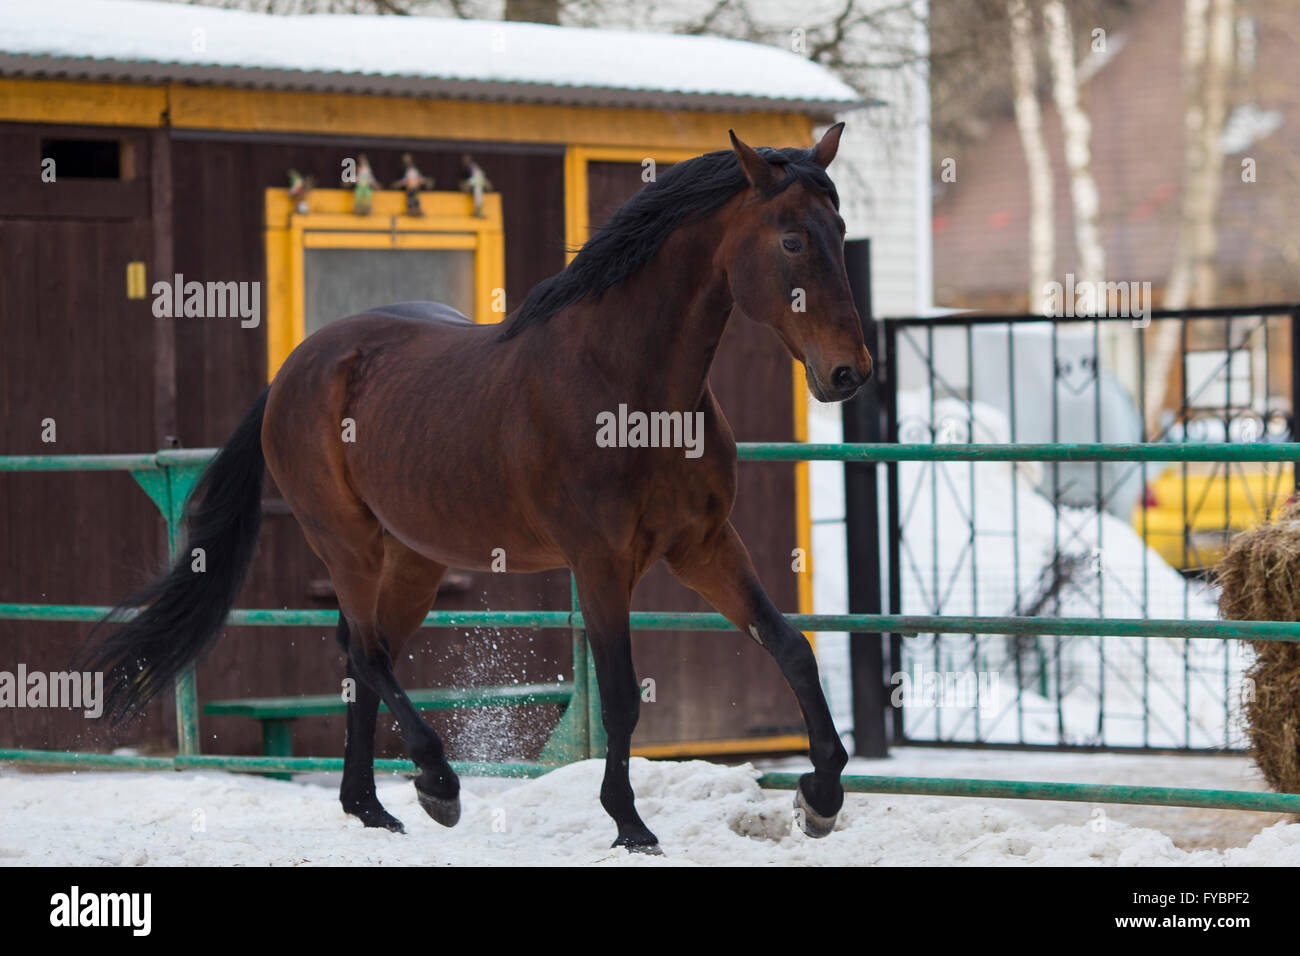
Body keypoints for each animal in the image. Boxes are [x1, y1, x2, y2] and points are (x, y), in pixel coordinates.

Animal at [82, 123, 873, 853]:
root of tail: (295, 368)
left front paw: (821, 795)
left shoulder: (704, 547)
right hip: (348, 544)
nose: (849, 372)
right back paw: (437, 781)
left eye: (839, 232)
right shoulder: (600, 563)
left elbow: (792, 648)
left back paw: (371, 806)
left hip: (415, 560)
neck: (628, 388)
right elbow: (620, 696)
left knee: (361, 653)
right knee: (368, 653)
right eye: (792, 240)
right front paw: (628, 823)